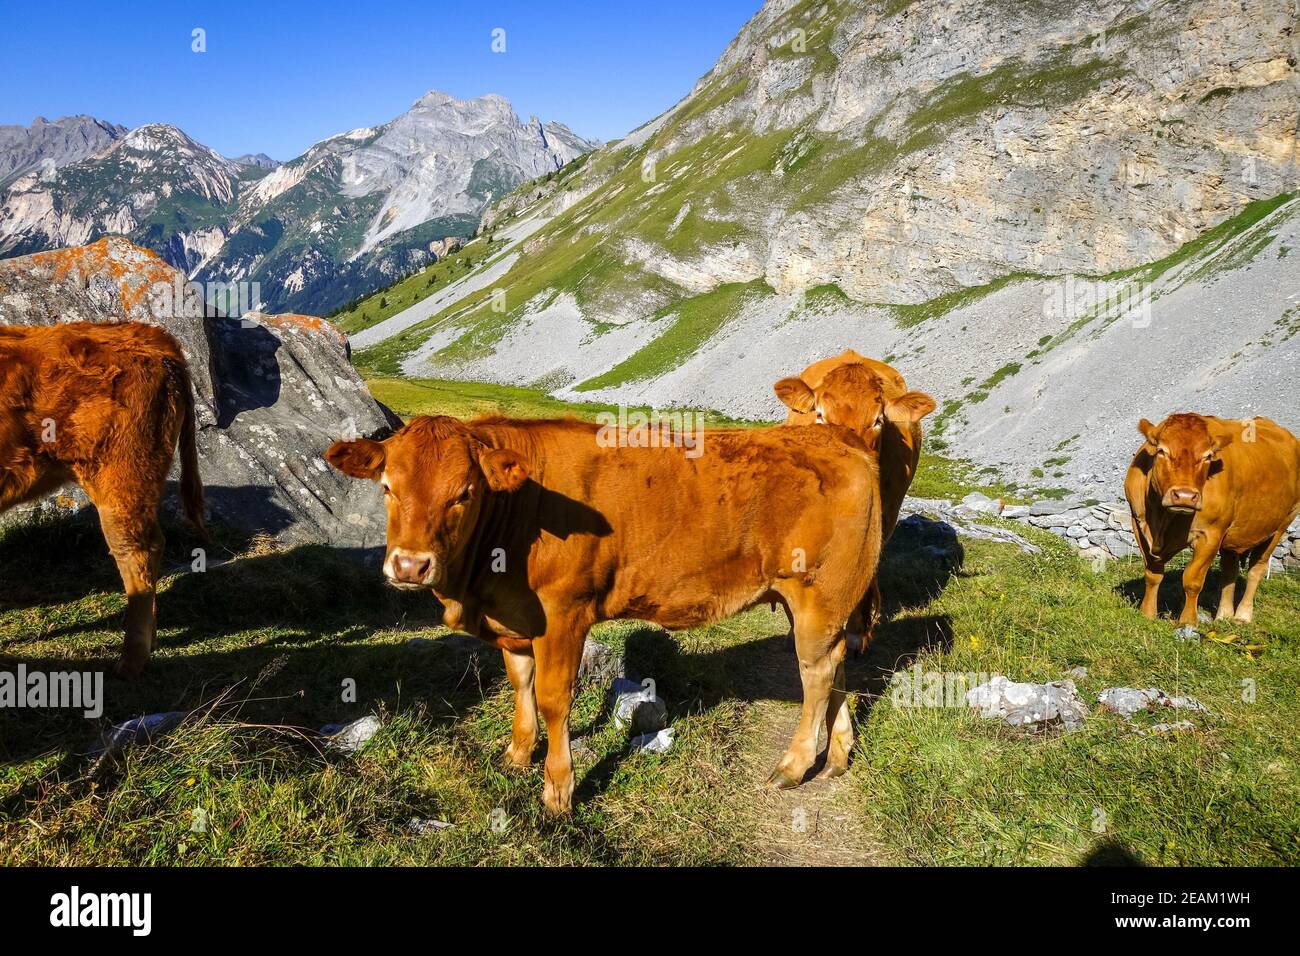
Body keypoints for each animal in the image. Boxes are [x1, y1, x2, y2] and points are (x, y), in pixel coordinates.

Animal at [326, 414, 883, 815]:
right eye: (387, 487)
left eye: (463, 493)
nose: (410, 565)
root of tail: (836, 437)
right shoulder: (516, 621)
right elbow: (520, 683)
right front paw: (517, 755)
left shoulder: (562, 614)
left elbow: (553, 700)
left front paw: (558, 791)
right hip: (819, 603)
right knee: (835, 664)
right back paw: (836, 756)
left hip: (817, 592)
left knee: (815, 673)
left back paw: (793, 765)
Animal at [1125, 413, 1300, 626]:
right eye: (1161, 451)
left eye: (1207, 456)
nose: (1185, 496)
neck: (1163, 520)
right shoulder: (1138, 525)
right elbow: (1153, 573)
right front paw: (1147, 613)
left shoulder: (1210, 534)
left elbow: (1192, 580)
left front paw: (1187, 621)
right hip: (1233, 536)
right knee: (1230, 571)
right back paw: (1224, 615)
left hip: (1281, 525)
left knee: (1256, 569)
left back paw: (1242, 616)